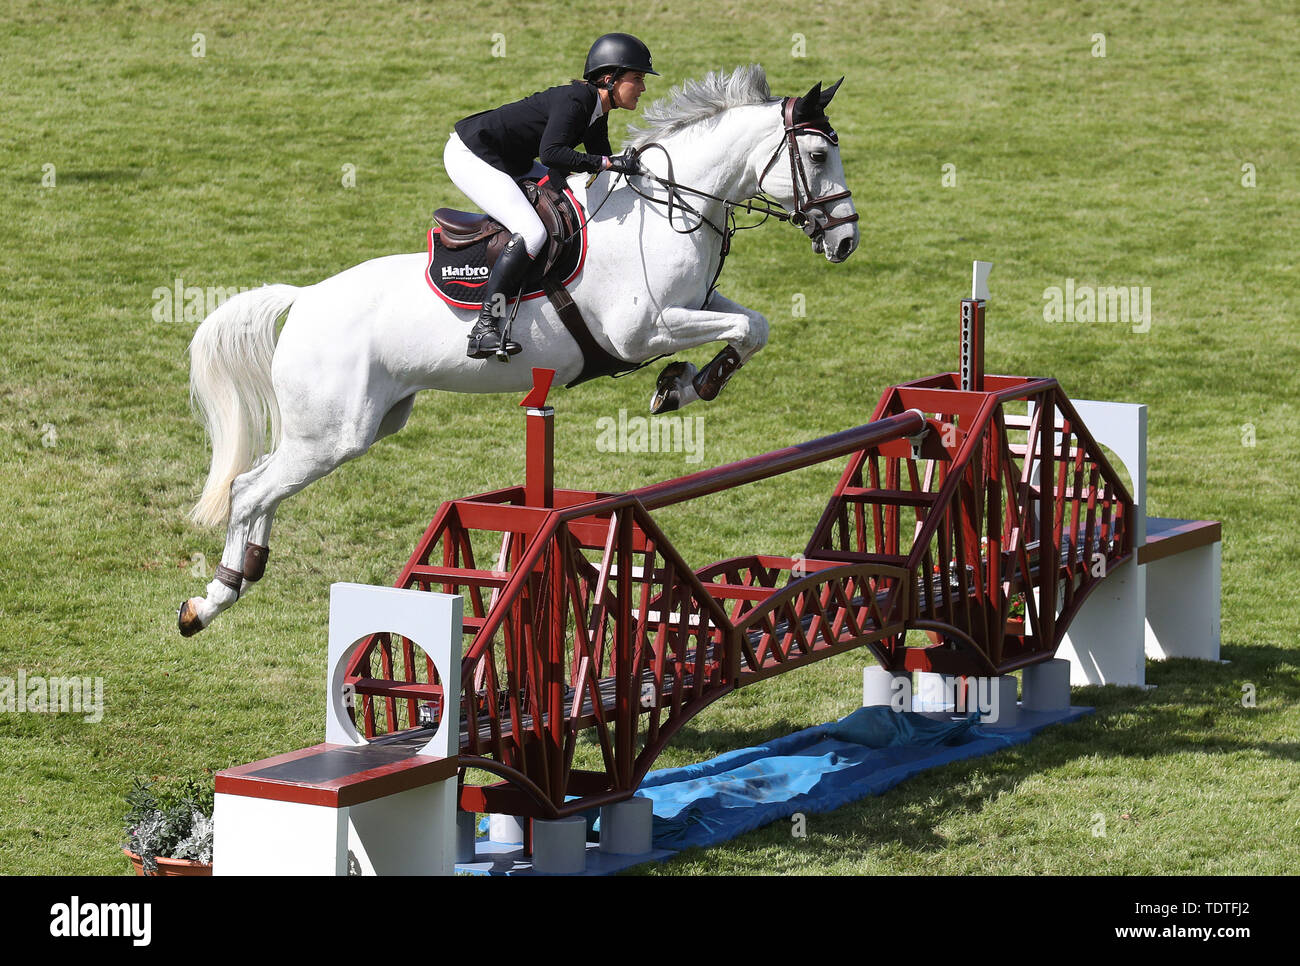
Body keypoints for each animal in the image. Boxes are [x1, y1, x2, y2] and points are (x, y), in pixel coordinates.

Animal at [178, 64, 860, 636]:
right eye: (818, 154)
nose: (847, 240)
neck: (670, 206)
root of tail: (305, 299)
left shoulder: (696, 304)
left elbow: (754, 326)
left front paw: (686, 384)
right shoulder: (641, 330)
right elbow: (739, 330)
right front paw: (683, 383)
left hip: (360, 424)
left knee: (261, 484)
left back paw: (238, 576)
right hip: (331, 433)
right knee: (250, 489)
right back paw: (209, 601)